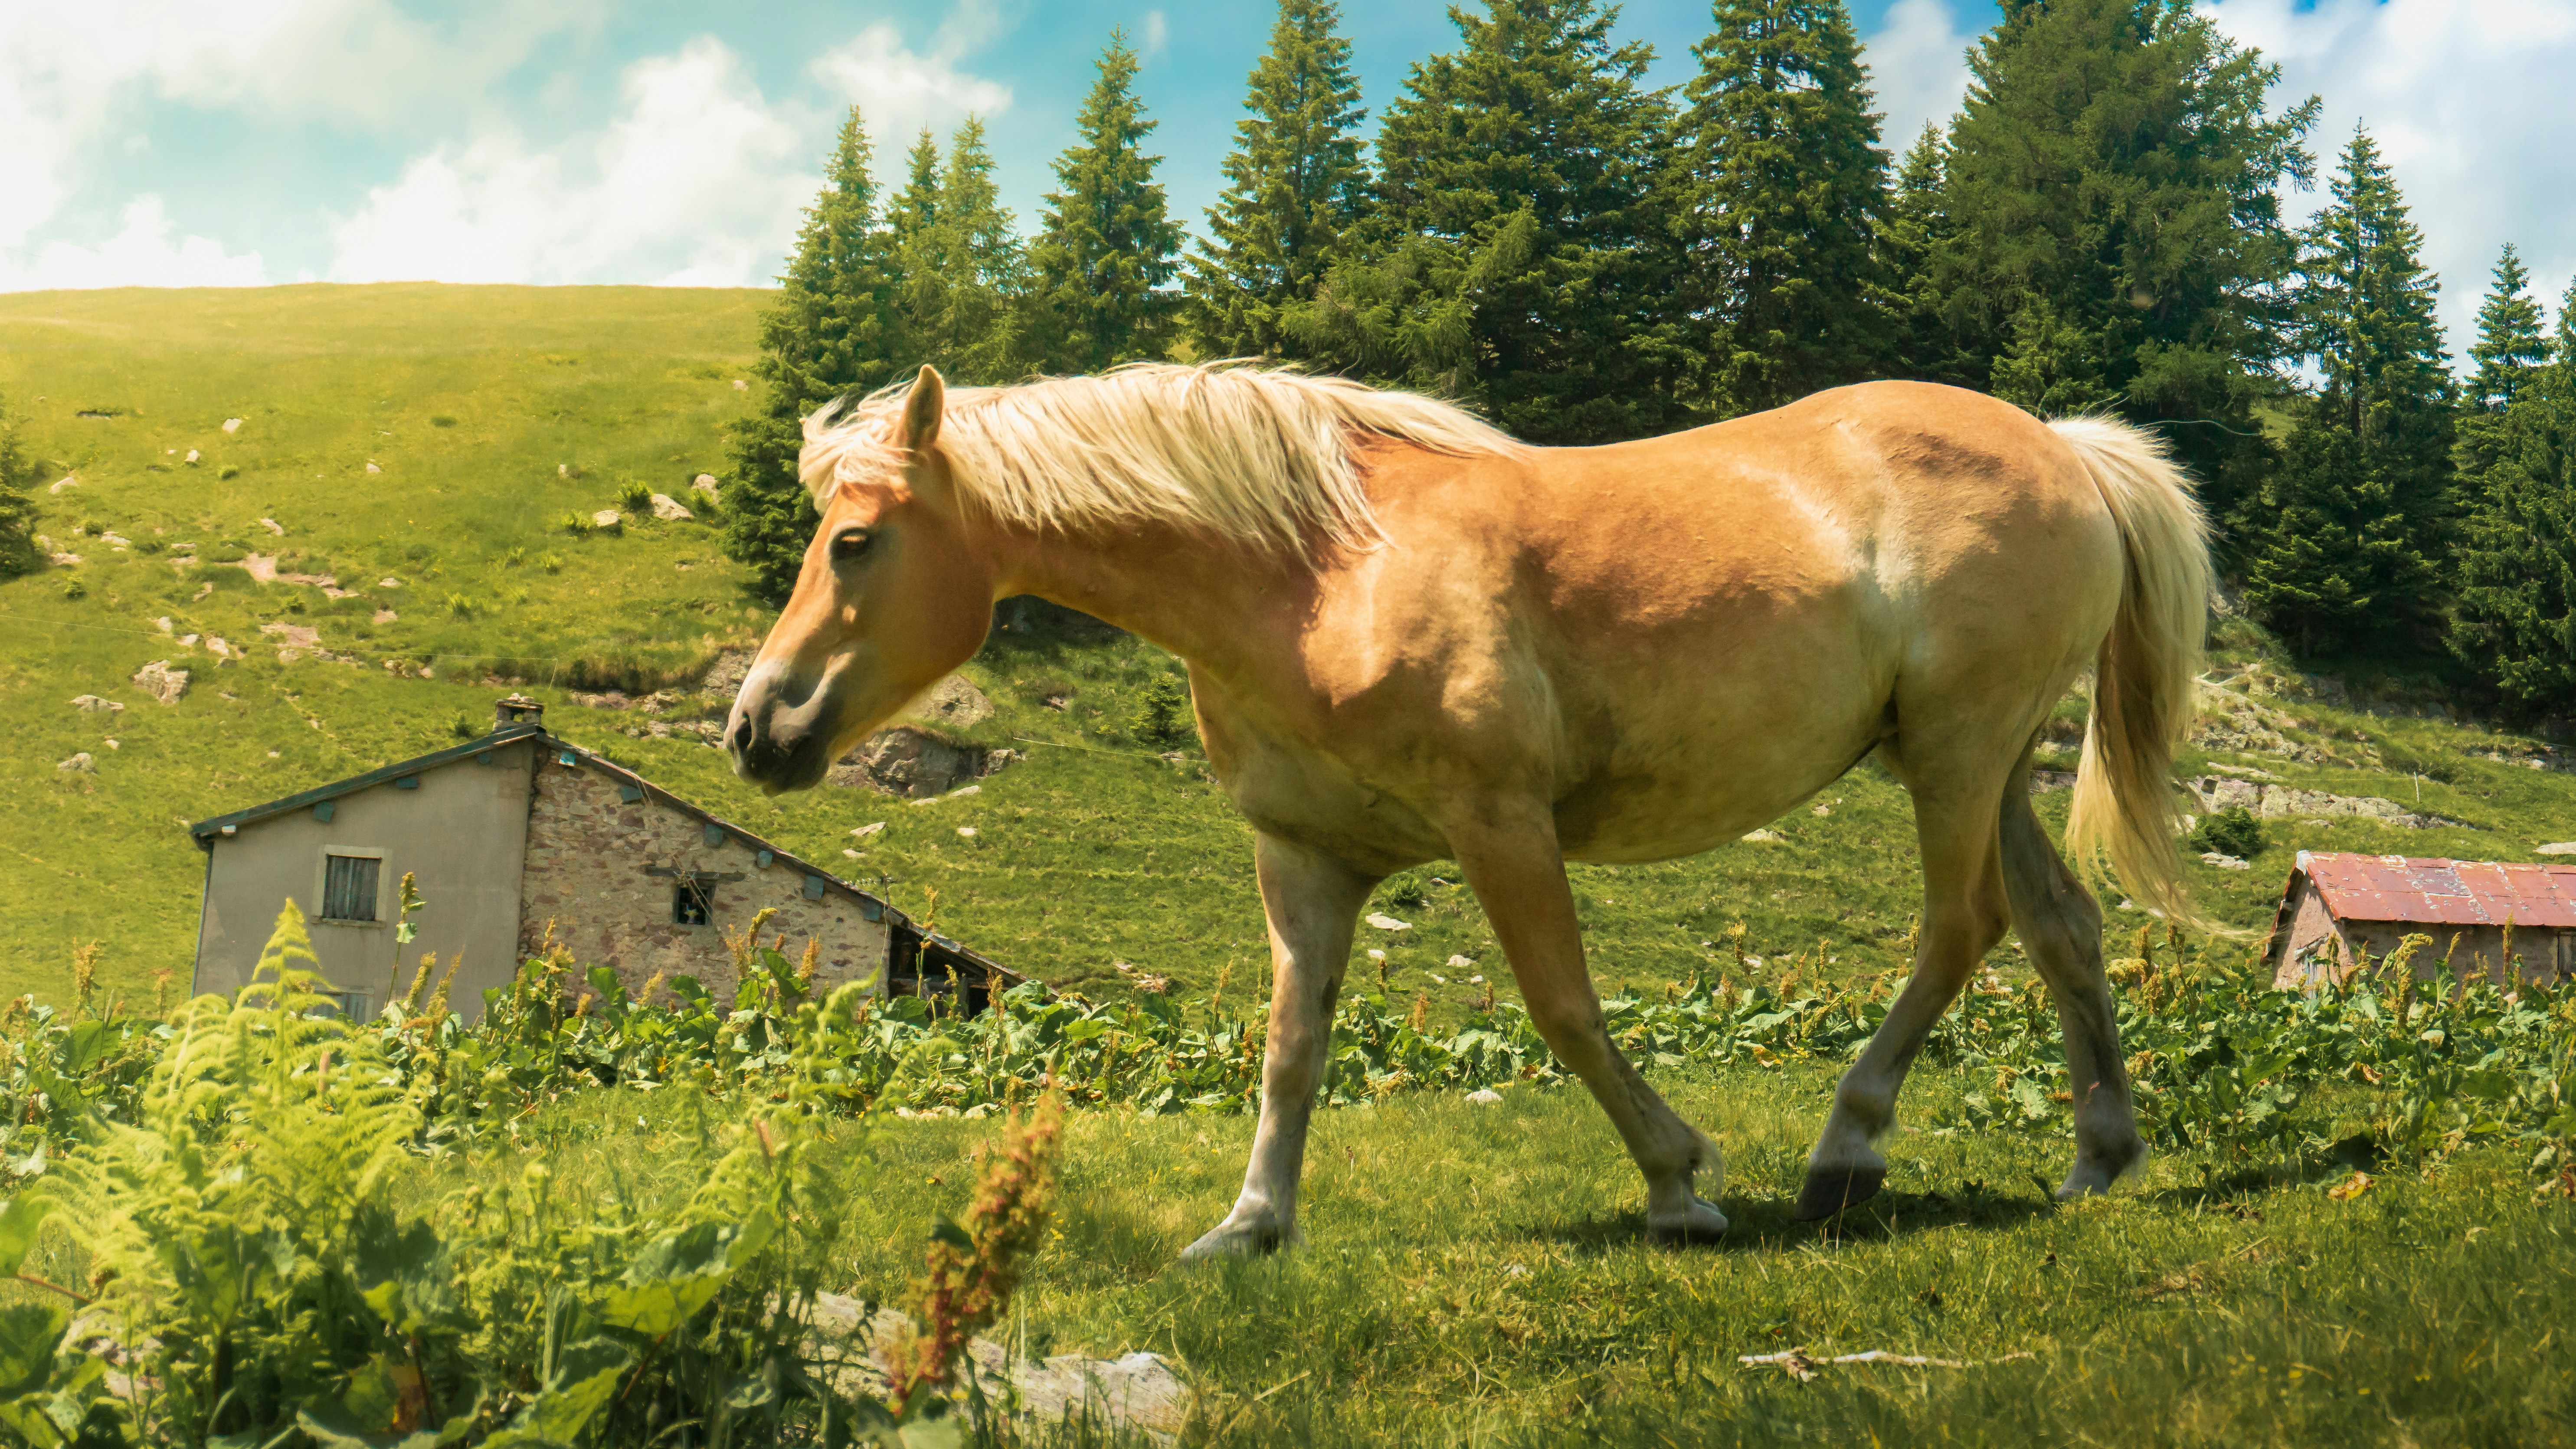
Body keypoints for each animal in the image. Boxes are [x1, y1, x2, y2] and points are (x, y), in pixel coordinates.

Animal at [725, 360, 2210, 1252]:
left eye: (852, 542)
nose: (755, 729)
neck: (1319, 572)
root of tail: (2061, 446)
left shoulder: (1500, 823)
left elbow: (1562, 1010)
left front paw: (1677, 1181)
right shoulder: (1306, 860)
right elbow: (1291, 1045)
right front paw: (1249, 1227)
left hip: (1958, 751)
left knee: (1958, 927)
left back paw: (1845, 1151)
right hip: (1972, 759)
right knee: (2059, 927)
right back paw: (2099, 1158)